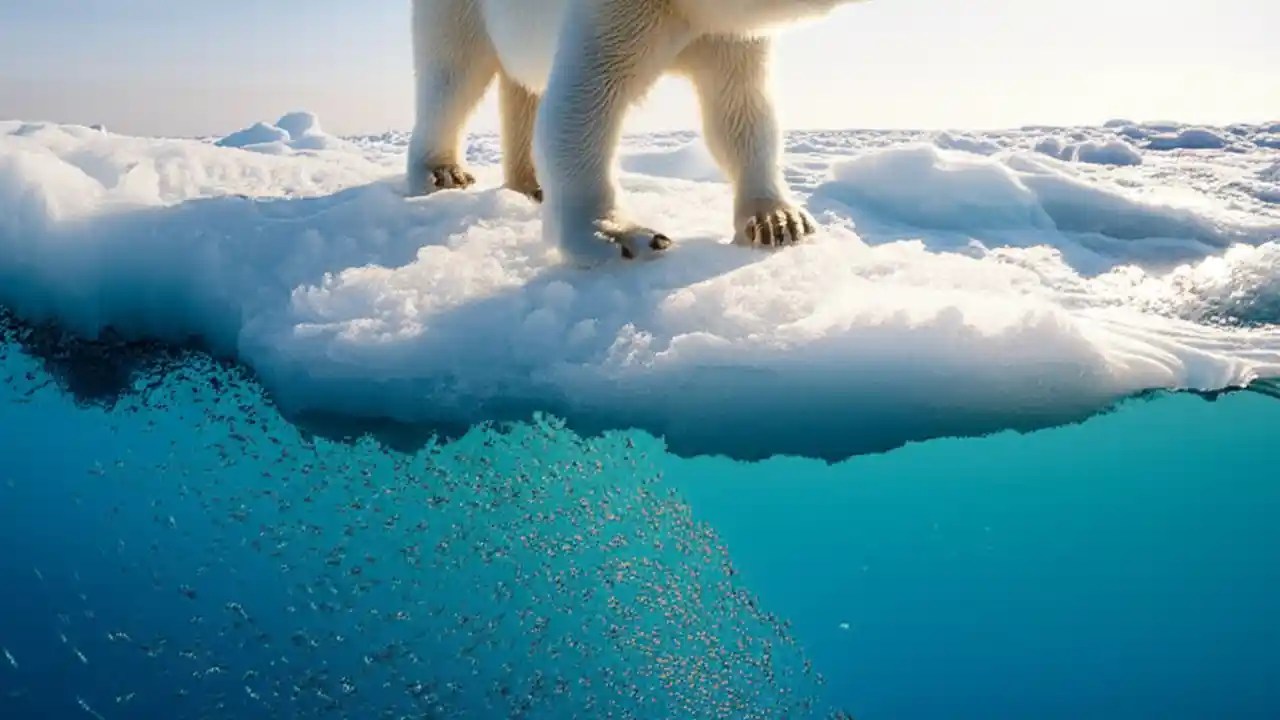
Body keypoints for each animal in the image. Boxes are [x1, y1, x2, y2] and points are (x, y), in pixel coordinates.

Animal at [407, 0, 864, 264]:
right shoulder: (619, 9)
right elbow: (585, 97)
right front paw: (625, 236)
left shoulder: (729, 33)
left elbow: (741, 107)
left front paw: (778, 221)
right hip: (458, 8)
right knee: (452, 74)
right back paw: (442, 172)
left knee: (522, 88)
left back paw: (531, 187)